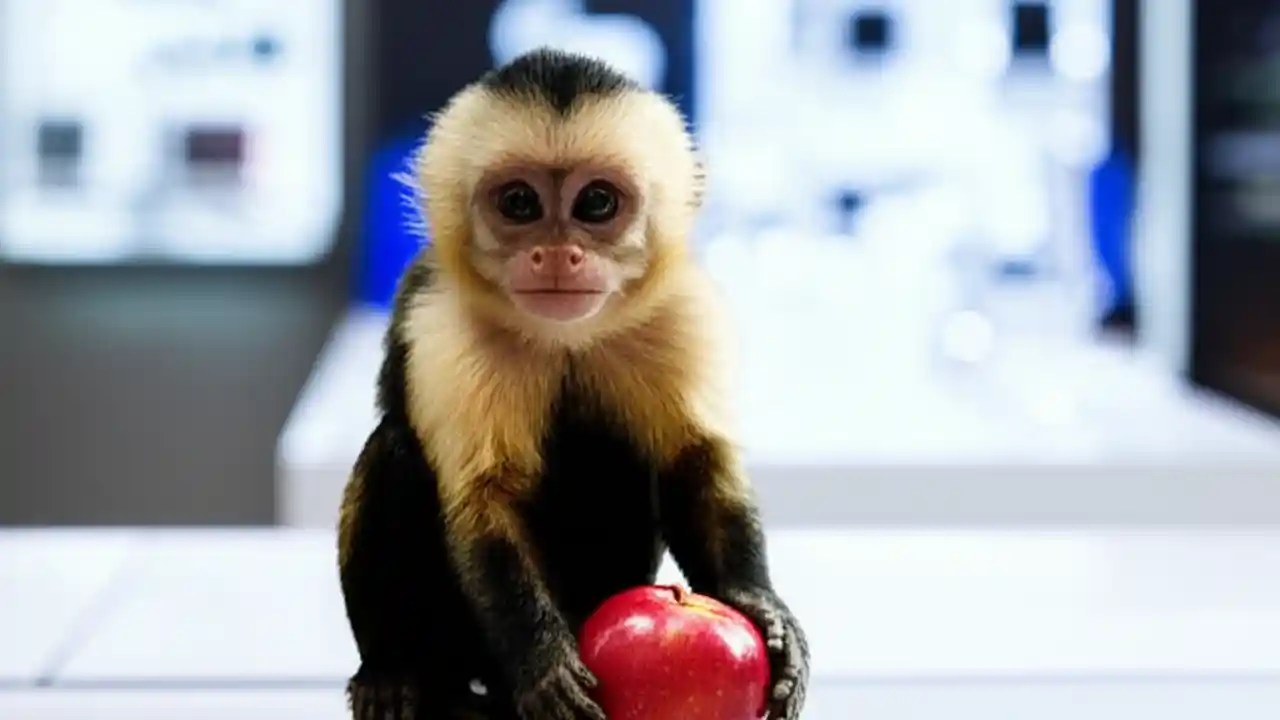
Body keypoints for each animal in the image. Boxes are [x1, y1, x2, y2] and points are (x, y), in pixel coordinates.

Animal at [337, 47, 809, 720]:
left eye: (596, 203)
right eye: (518, 203)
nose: (557, 254)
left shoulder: (682, 312)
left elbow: (695, 463)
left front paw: (763, 611)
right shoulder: (444, 325)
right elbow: (485, 500)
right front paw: (543, 663)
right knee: (396, 452)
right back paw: (397, 672)